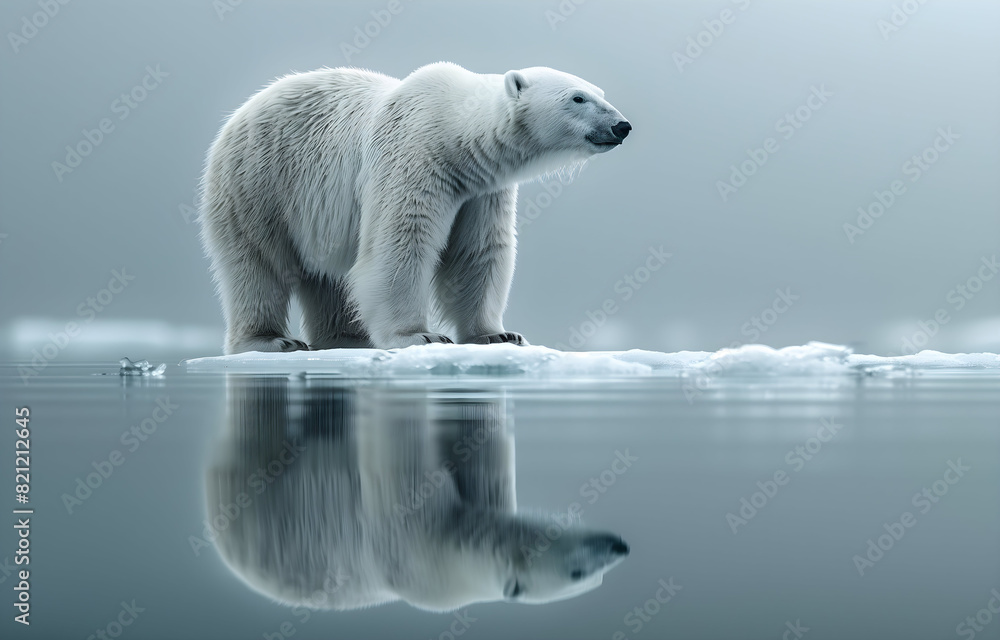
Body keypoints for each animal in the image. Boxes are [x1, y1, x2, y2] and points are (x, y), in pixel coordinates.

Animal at [199, 62, 630, 354]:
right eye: (577, 97)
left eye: (601, 92)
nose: (622, 126)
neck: (454, 133)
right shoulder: (412, 158)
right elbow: (401, 241)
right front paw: (420, 335)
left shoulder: (481, 191)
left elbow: (477, 253)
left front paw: (499, 334)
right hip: (259, 183)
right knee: (259, 263)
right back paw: (272, 340)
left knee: (329, 276)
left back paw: (345, 339)